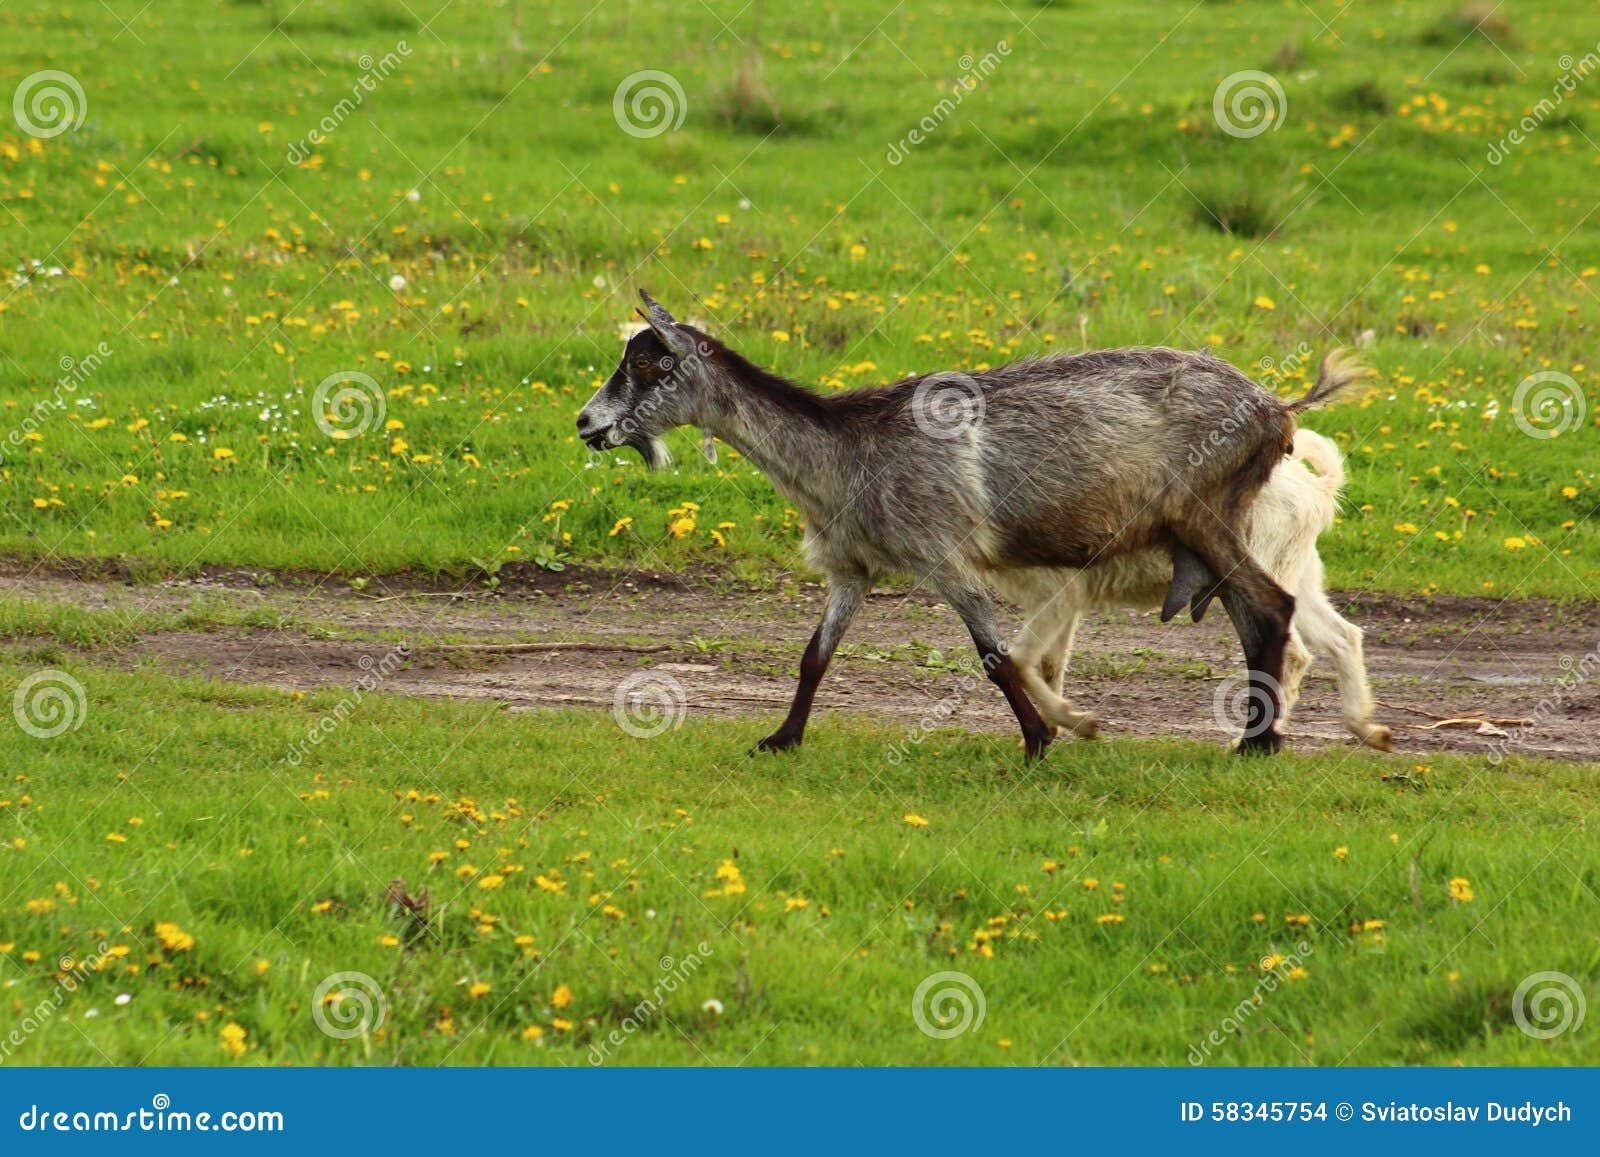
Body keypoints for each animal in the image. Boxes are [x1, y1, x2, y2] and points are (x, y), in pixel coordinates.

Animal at [994, 428, 1391, 750]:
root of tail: (1317, 491)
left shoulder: (1060, 591)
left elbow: (1020, 659)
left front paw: (1071, 727)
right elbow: (1051, 661)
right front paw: (1052, 729)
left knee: (1293, 652)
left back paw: (1246, 742)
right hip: (1299, 573)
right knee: (1343, 635)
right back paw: (1369, 730)